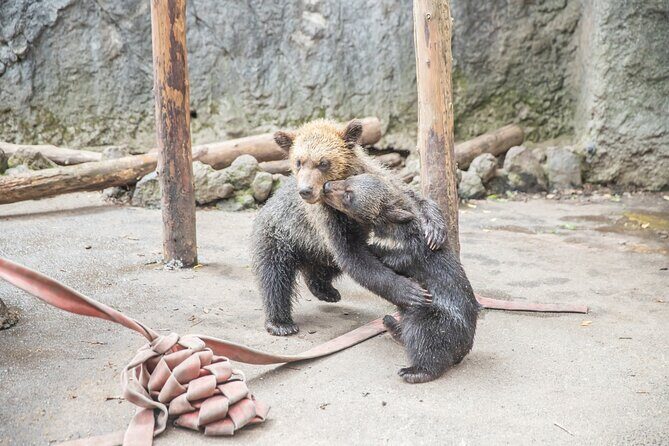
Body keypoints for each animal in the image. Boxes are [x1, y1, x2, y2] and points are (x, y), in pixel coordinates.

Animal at [252, 119, 446, 336]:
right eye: (299, 161)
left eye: (323, 162)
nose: (305, 191)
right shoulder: (328, 221)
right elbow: (353, 257)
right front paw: (411, 291)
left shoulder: (379, 181)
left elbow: (410, 197)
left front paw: (434, 230)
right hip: (279, 235)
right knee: (275, 277)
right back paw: (281, 323)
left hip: (314, 247)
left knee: (323, 267)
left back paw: (326, 290)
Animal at [322, 173, 480, 384]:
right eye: (349, 178)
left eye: (349, 195)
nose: (326, 185)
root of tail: (464, 348)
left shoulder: (408, 252)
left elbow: (379, 257)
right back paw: (391, 324)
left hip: (435, 317)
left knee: (424, 338)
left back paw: (414, 370)